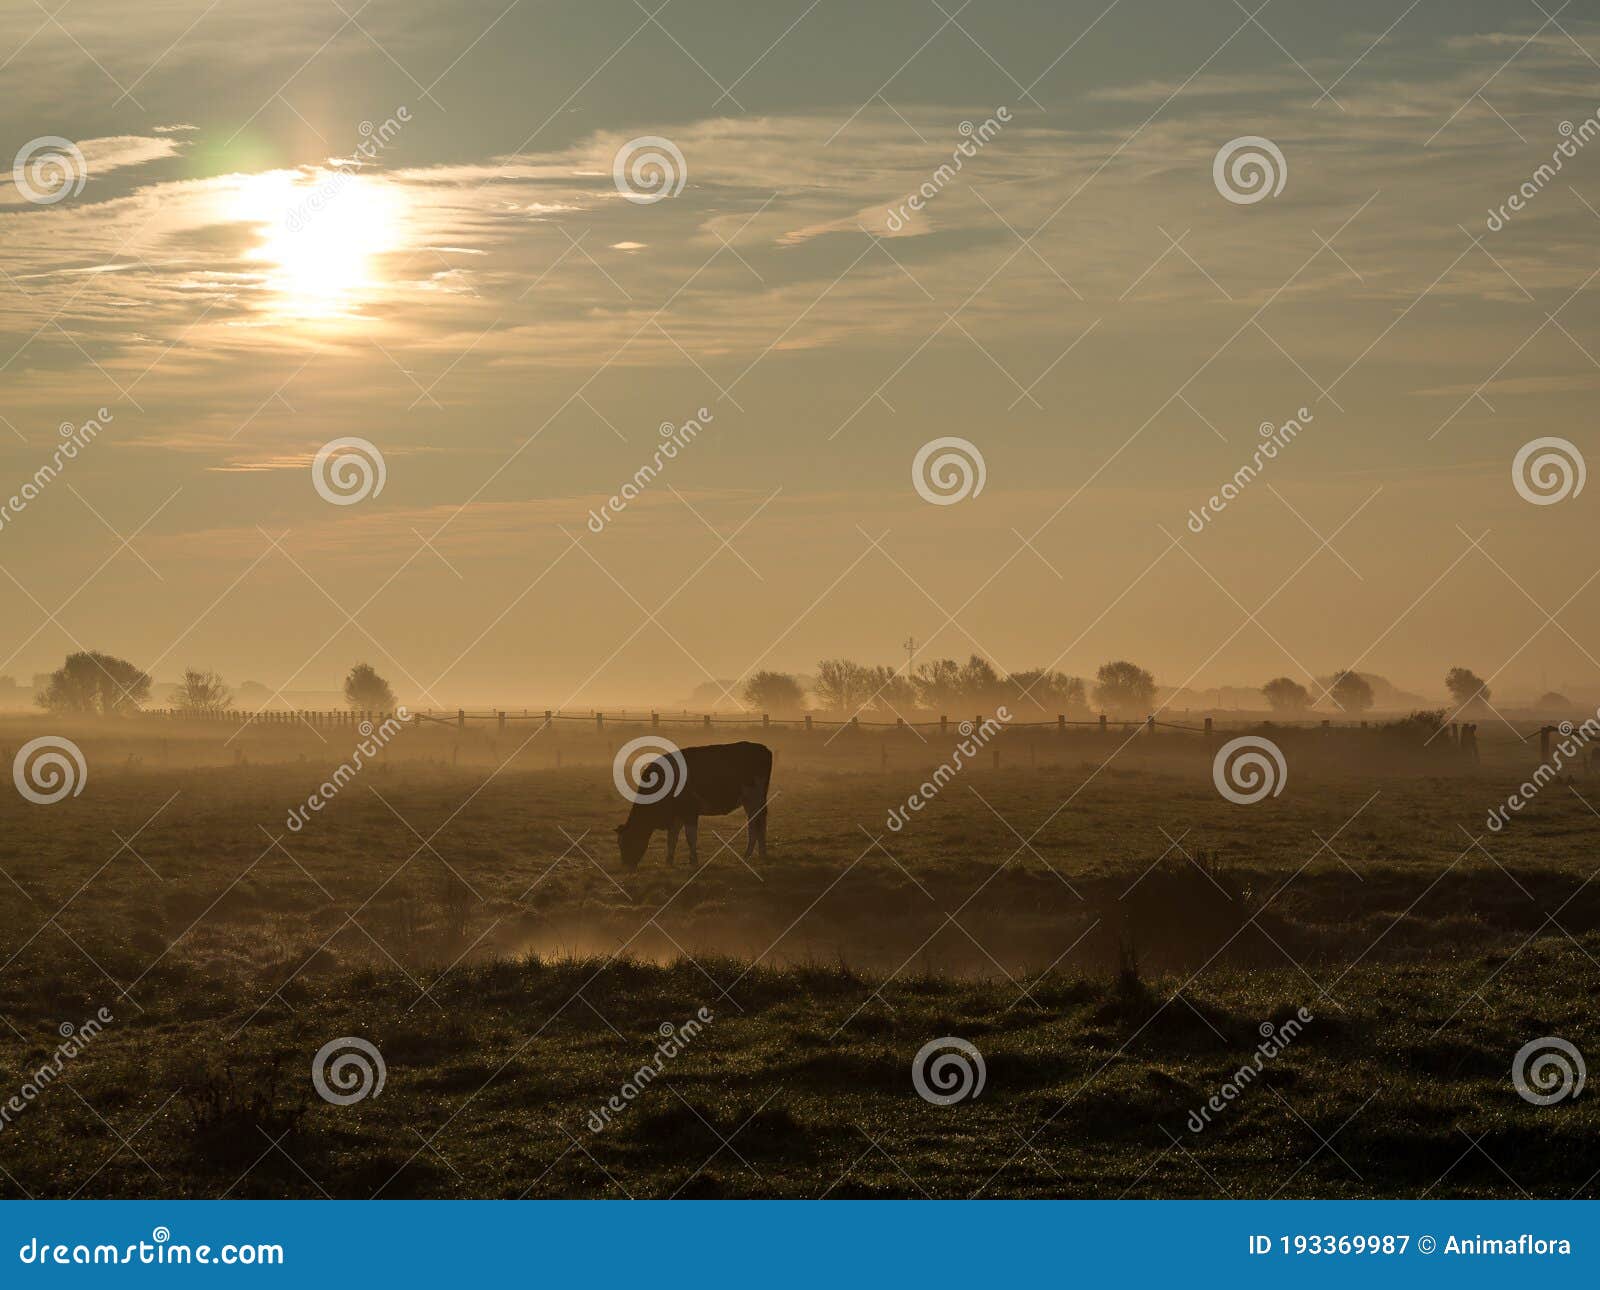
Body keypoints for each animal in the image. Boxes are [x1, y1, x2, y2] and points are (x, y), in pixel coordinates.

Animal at [615, 741, 772, 869]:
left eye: (626, 842)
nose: (626, 867)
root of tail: (763, 748)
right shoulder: (677, 815)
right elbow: (672, 838)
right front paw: (669, 862)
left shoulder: (690, 812)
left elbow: (690, 837)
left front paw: (694, 861)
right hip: (753, 801)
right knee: (758, 824)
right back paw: (760, 856)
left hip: (753, 799)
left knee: (756, 825)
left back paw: (751, 855)